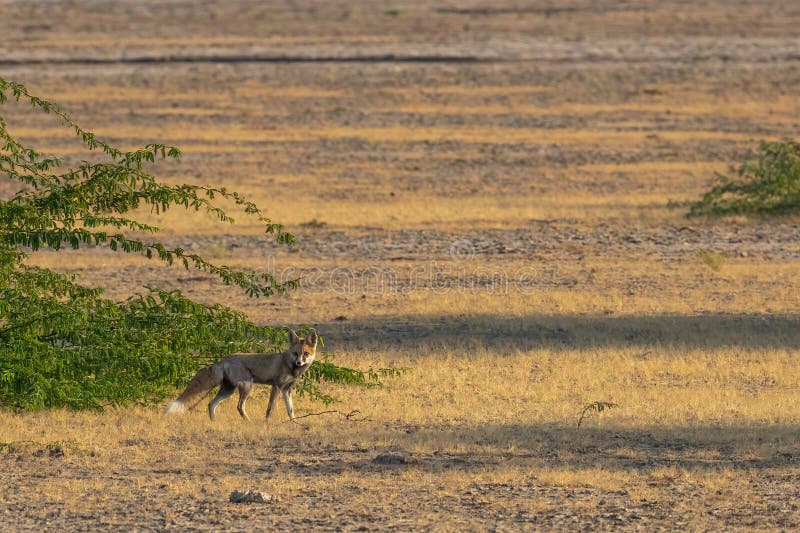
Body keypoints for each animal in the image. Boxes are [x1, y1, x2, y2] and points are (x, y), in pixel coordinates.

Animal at [163, 330, 318, 422]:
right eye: (295, 353)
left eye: (306, 354)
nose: (299, 362)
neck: (289, 365)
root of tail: (223, 360)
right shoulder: (277, 386)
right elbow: (270, 409)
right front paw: (266, 423)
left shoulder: (287, 390)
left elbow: (290, 410)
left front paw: (295, 423)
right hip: (247, 386)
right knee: (239, 406)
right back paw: (248, 422)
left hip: (228, 390)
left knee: (211, 404)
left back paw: (214, 422)